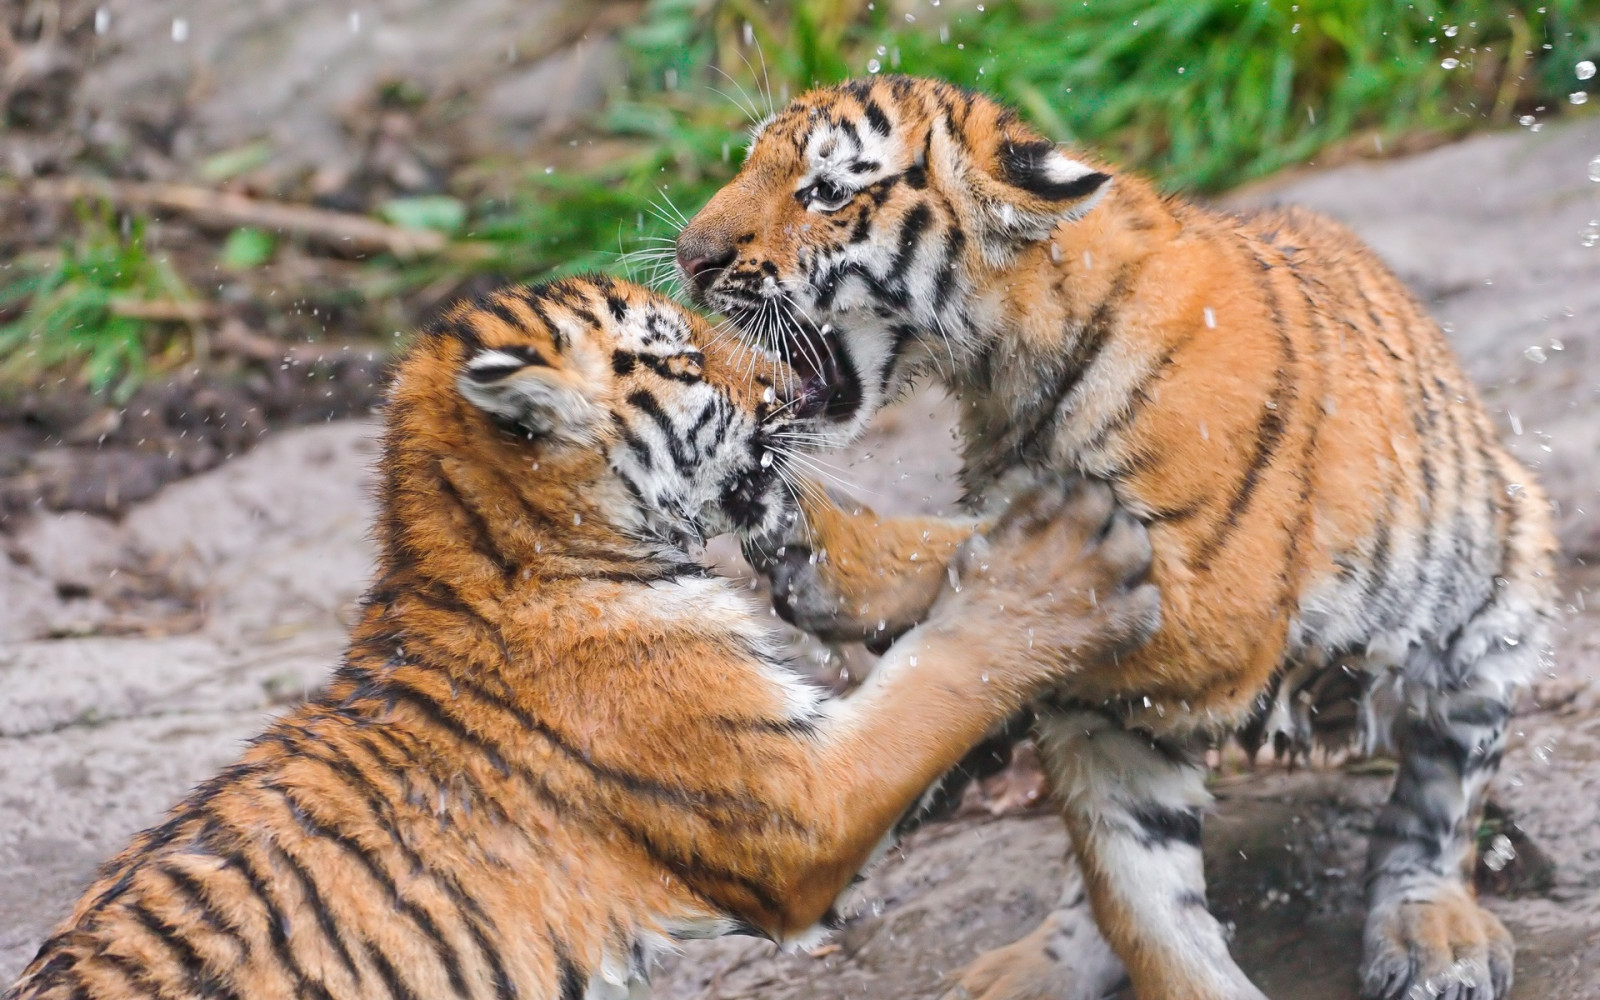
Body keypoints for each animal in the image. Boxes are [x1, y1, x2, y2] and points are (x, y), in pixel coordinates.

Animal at [3, 274, 1164, 1000]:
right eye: (684, 360)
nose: (796, 385)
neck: (515, 556)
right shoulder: (800, 803)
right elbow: (944, 671)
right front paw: (1061, 559)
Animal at [673, 76, 1557, 1000]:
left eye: (826, 193)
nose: (688, 257)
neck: (1004, 376)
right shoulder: (1106, 708)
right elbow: (1145, 911)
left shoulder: (1223, 601)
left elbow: (986, 545)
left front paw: (825, 553)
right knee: (1117, 885)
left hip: (1492, 610)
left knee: (1434, 814)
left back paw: (1436, 937)